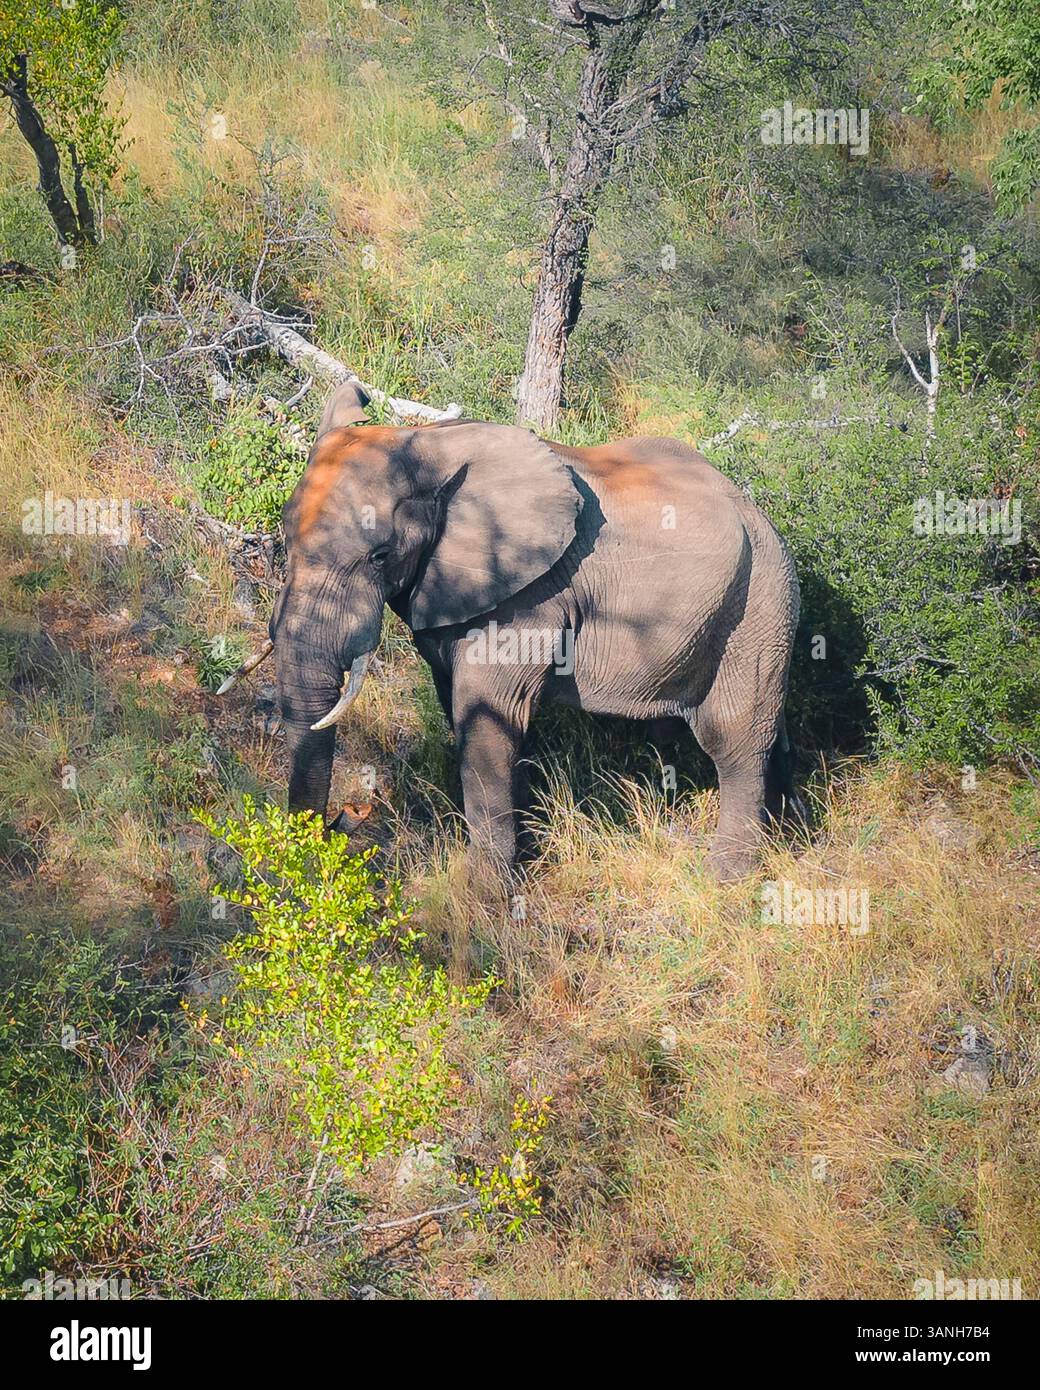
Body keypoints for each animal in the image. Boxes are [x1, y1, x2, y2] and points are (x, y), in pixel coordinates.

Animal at [220, 381, 803, 881]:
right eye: (283, 536)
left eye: (380, 555)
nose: (345, 820)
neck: (431, 447)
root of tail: (761, 515)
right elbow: (467, 708)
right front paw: (521, 852)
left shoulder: (530, 594)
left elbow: (487, 712)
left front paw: (486, 891)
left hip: (761, 604)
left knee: (736, 740)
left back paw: (726, 878)